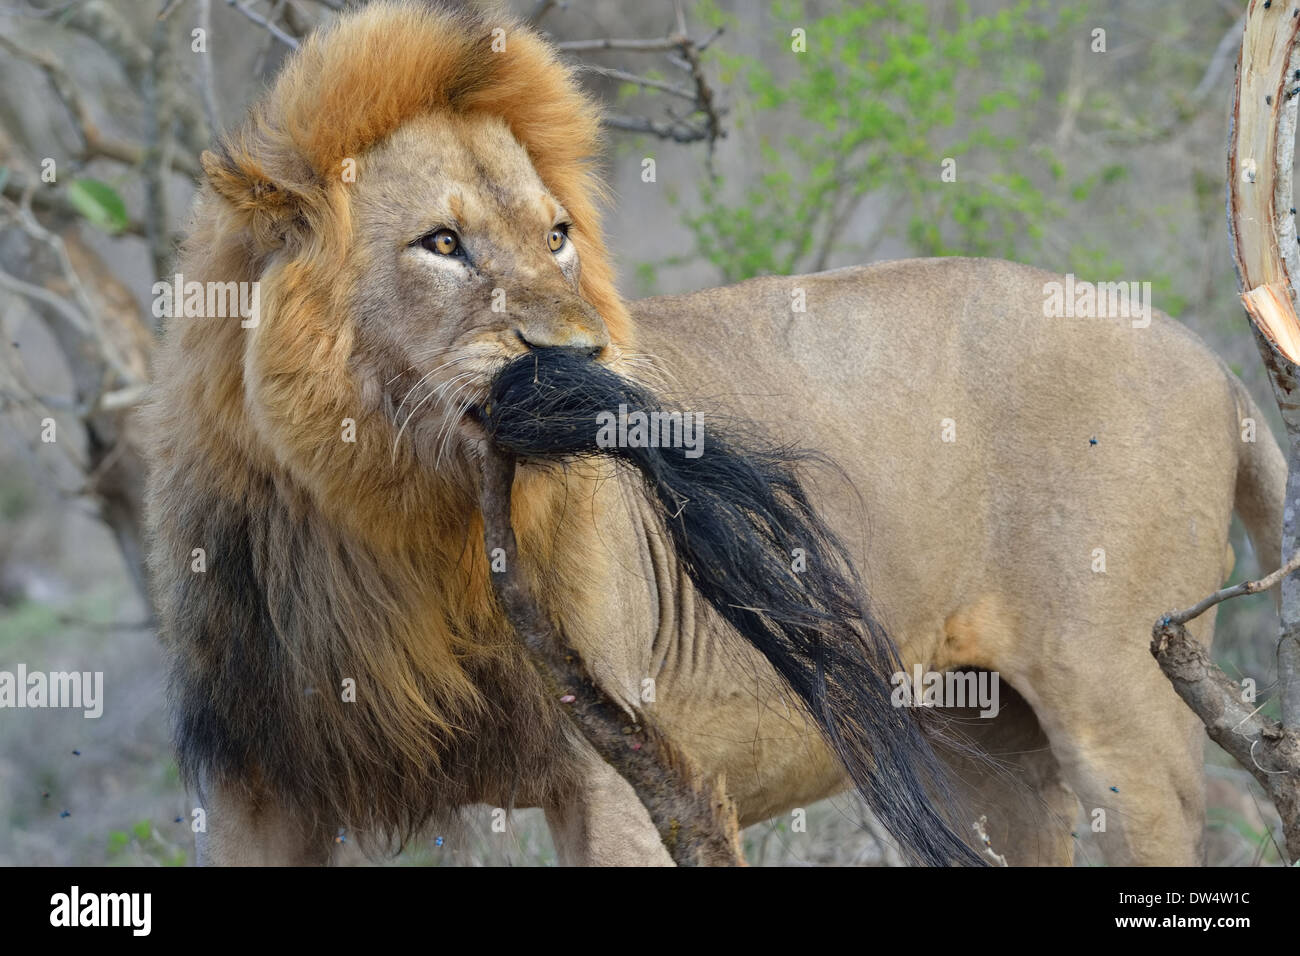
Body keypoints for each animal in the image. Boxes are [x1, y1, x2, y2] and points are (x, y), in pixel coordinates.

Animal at [142, 0, 1279, 868]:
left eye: (557, 235)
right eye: (442, 244)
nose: (585, 357)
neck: (373, 516)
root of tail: (1215, 362)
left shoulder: (615, 765)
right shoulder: (257, 788)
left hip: (1128, 715)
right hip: (981, 741)